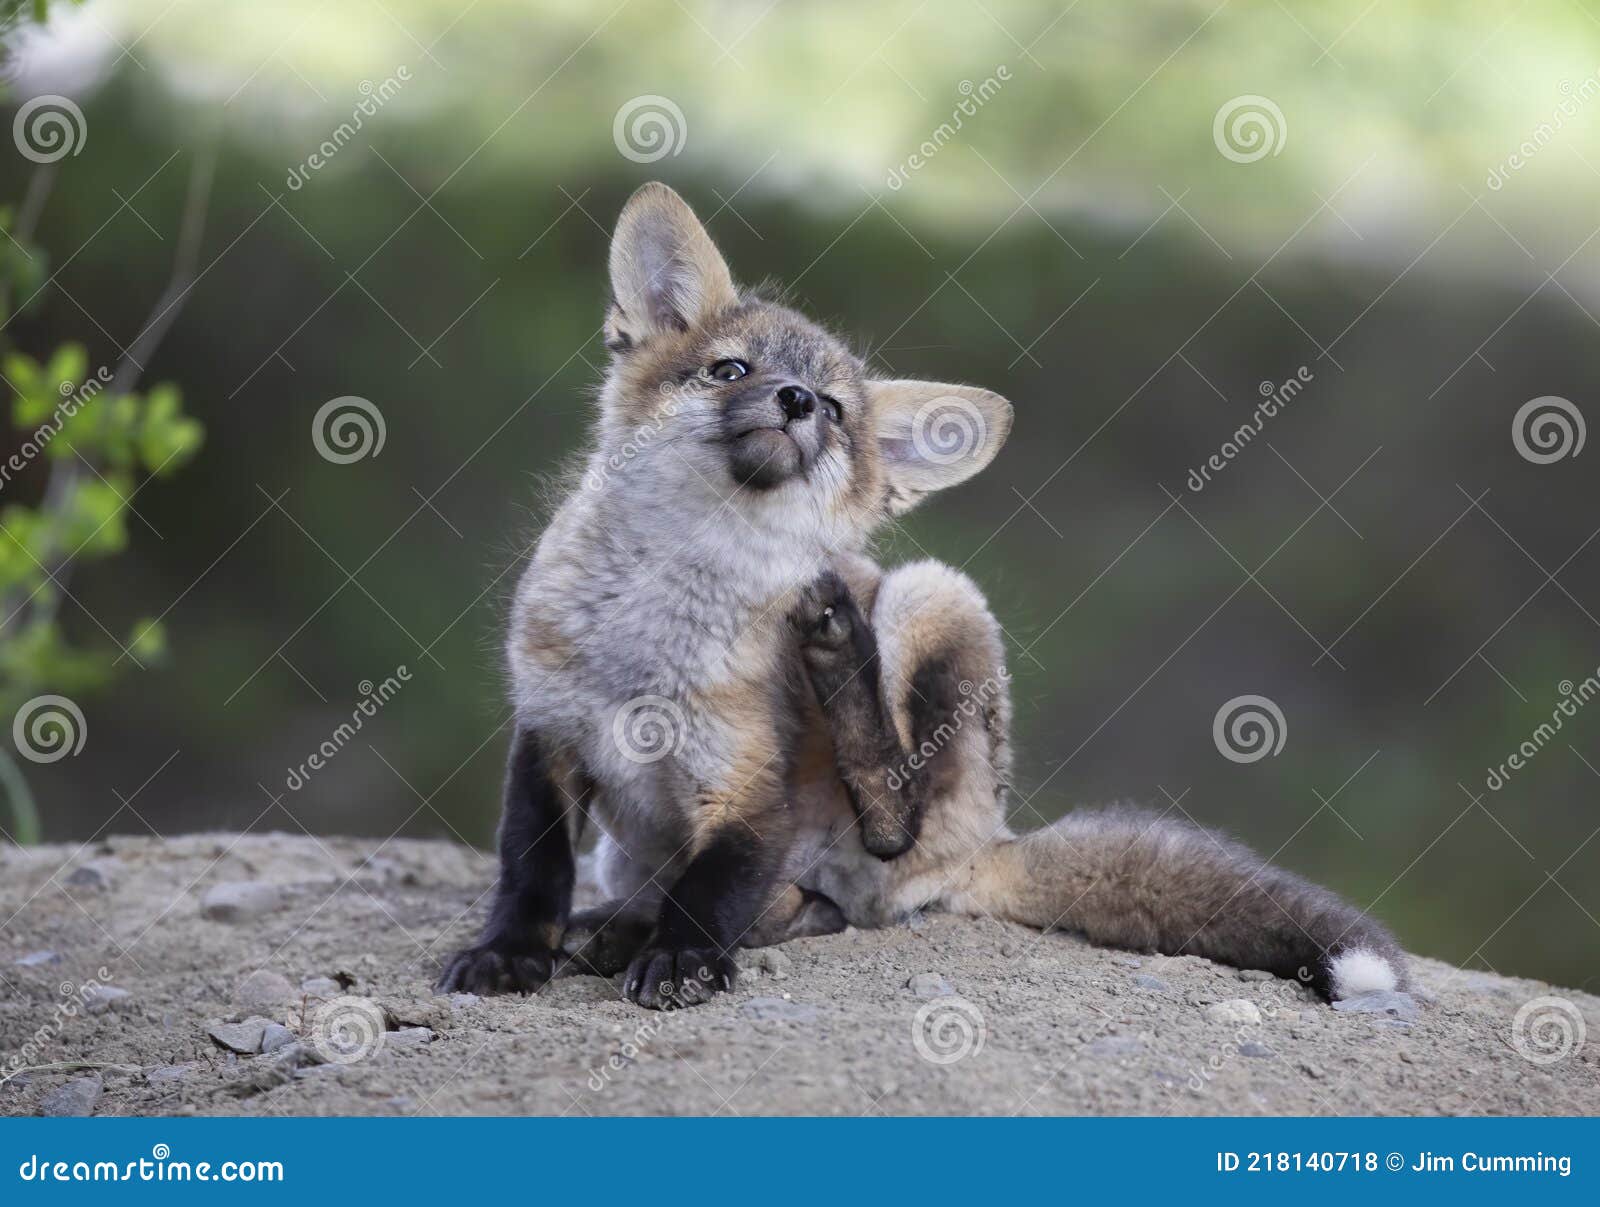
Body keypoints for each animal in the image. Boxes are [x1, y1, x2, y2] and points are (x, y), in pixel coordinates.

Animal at [437, 182, 1408, 1009]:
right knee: (783, 899)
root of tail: (991, 838)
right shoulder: (549, 732)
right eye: (730, 370)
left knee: (857, 858)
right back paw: (614, 927)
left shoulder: (749, 784)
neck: (651, 632)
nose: (796, 400)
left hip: (931, 600)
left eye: (834, 410)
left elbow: (715, 893)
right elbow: (531, 871)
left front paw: (680, 958)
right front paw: (509, 952)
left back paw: (832, 667)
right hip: (626, 848)